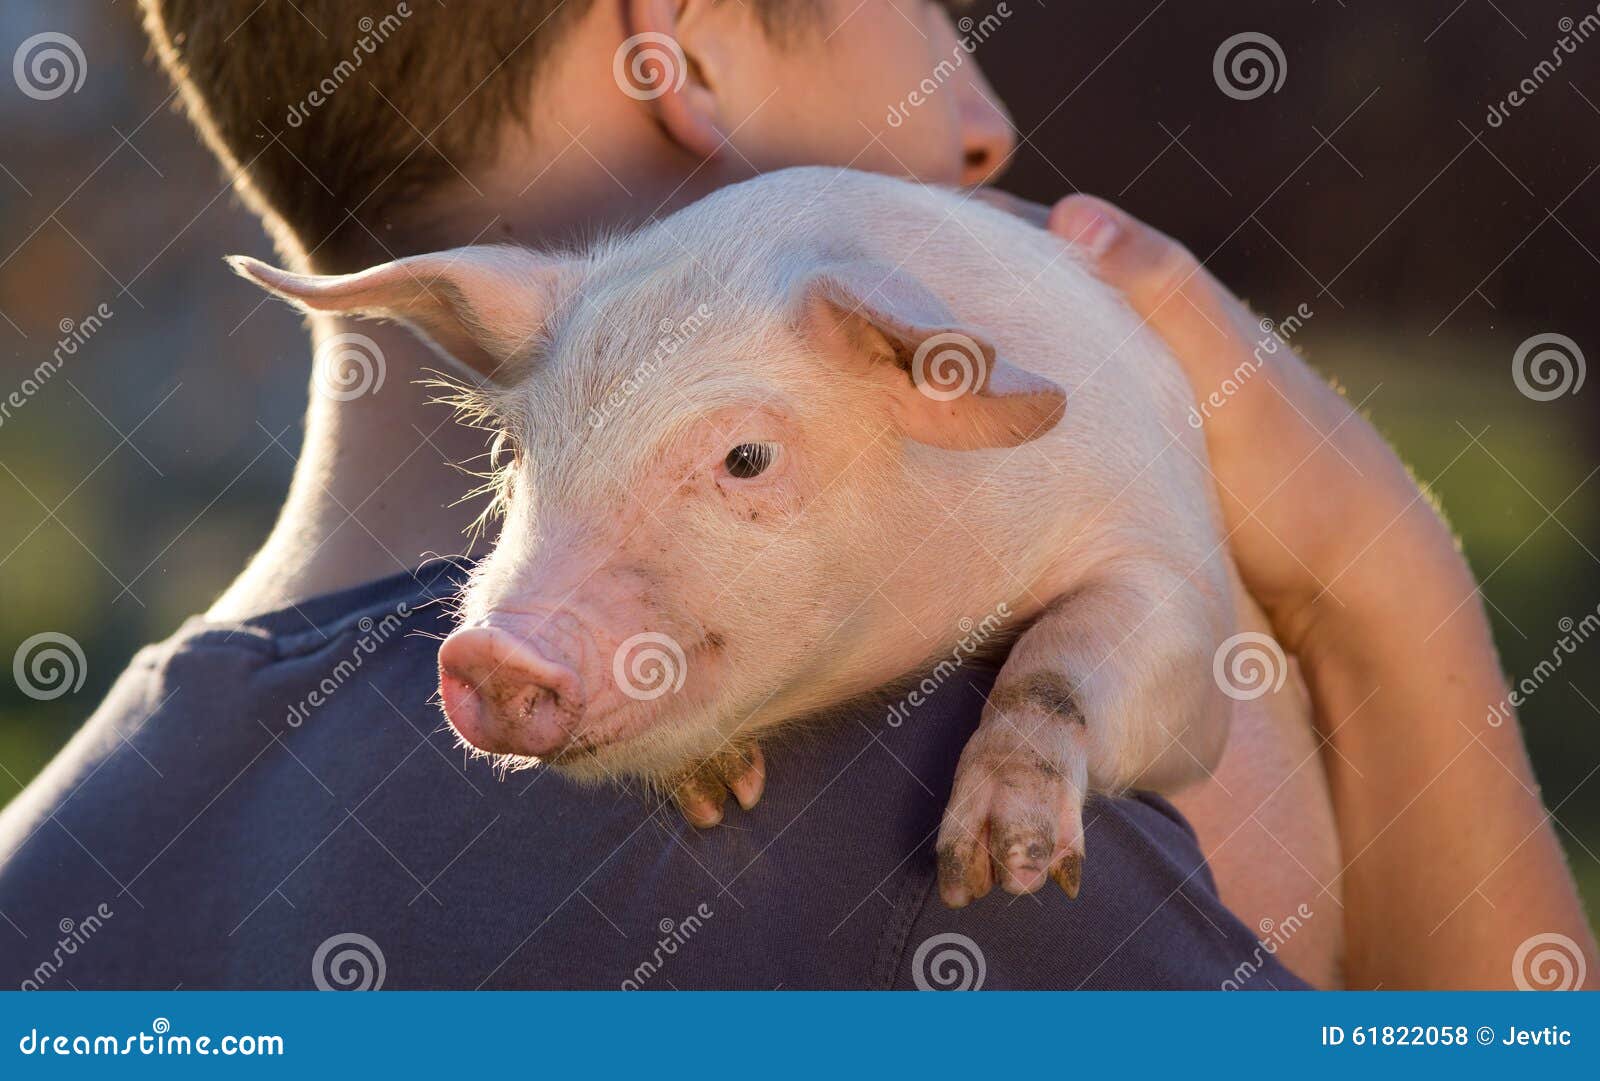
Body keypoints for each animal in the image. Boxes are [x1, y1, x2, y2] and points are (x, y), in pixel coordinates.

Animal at [231, 166, 1234, 907]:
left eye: (746, 457)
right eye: (510, 450)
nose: (492, 653)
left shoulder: (1184, 573)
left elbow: (1073, 657)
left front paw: (994, 876)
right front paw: (720, 793)